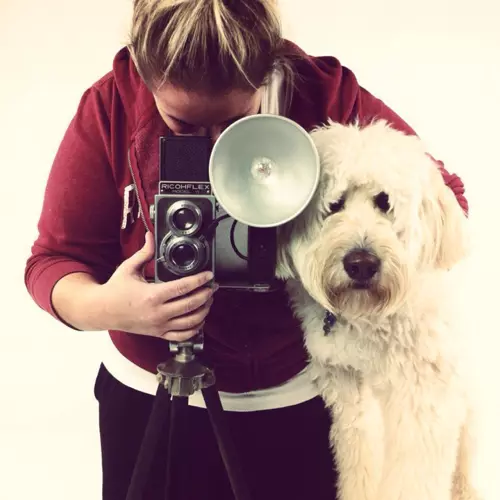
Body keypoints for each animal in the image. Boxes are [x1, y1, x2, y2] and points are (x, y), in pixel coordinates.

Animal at [278, 121, 492, 500]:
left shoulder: (424, 399)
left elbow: (414, 479)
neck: (369, 319)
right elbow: (360, 459)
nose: (361, 264)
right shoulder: (350, 392)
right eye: (335, 205)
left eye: (385, 202)